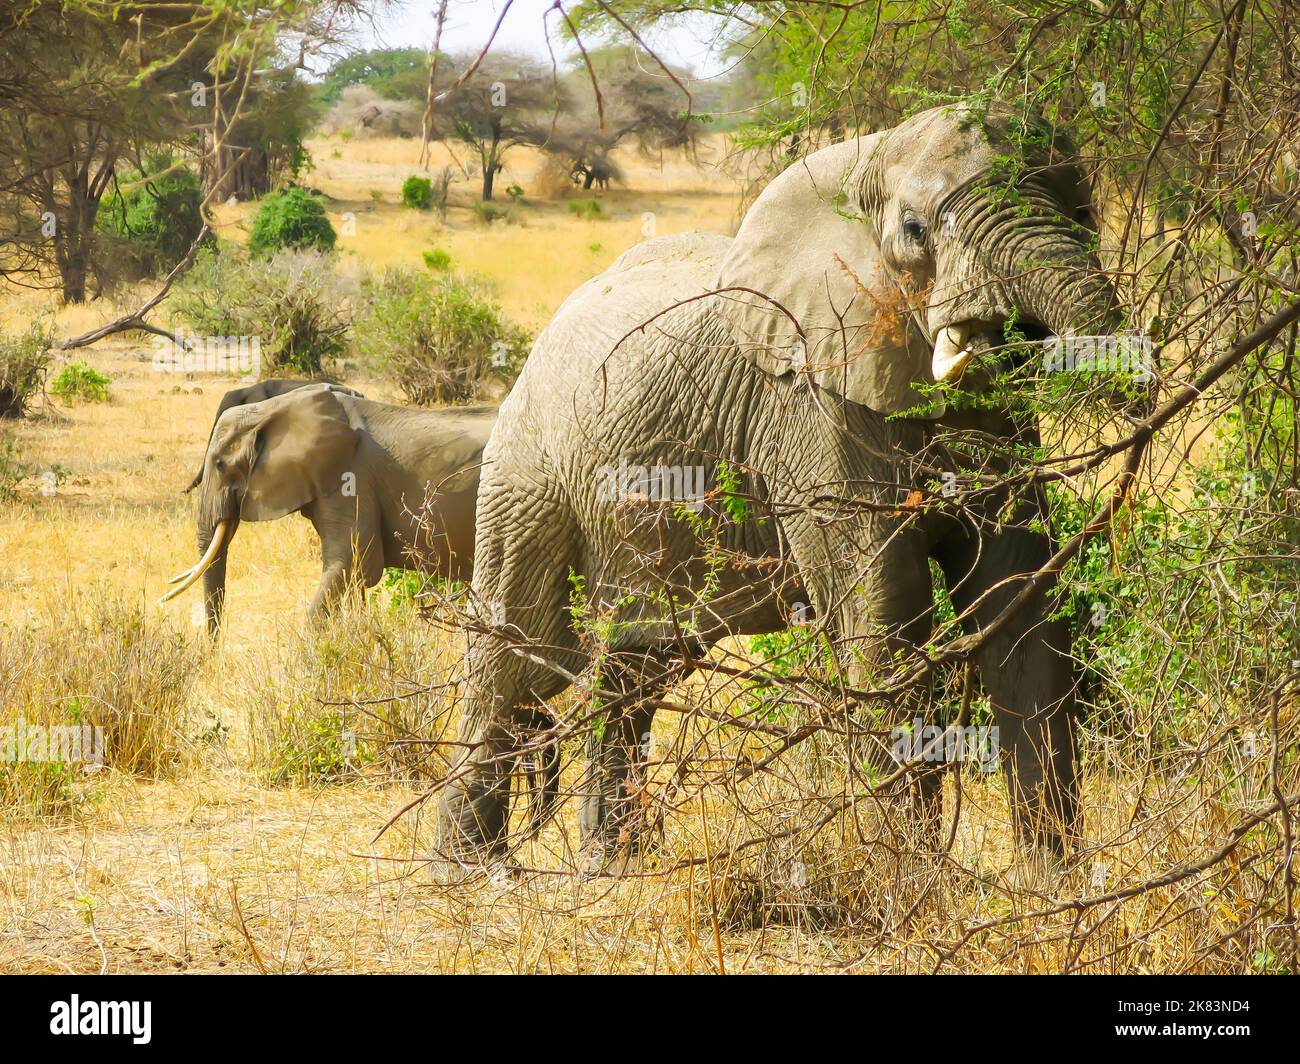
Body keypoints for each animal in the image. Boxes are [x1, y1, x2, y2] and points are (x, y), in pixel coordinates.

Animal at [437, 102, 1119, 872]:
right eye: (915, 229)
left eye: (1084, 210)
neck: (862, 163)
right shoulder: (809, 405)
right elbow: (884, 601)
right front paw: (910, 882)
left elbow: (1020, 590)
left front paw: (1053, 883)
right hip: (528, 470)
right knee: (514, 657)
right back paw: (470, 870)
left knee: (634, 665)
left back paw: (611, 870)